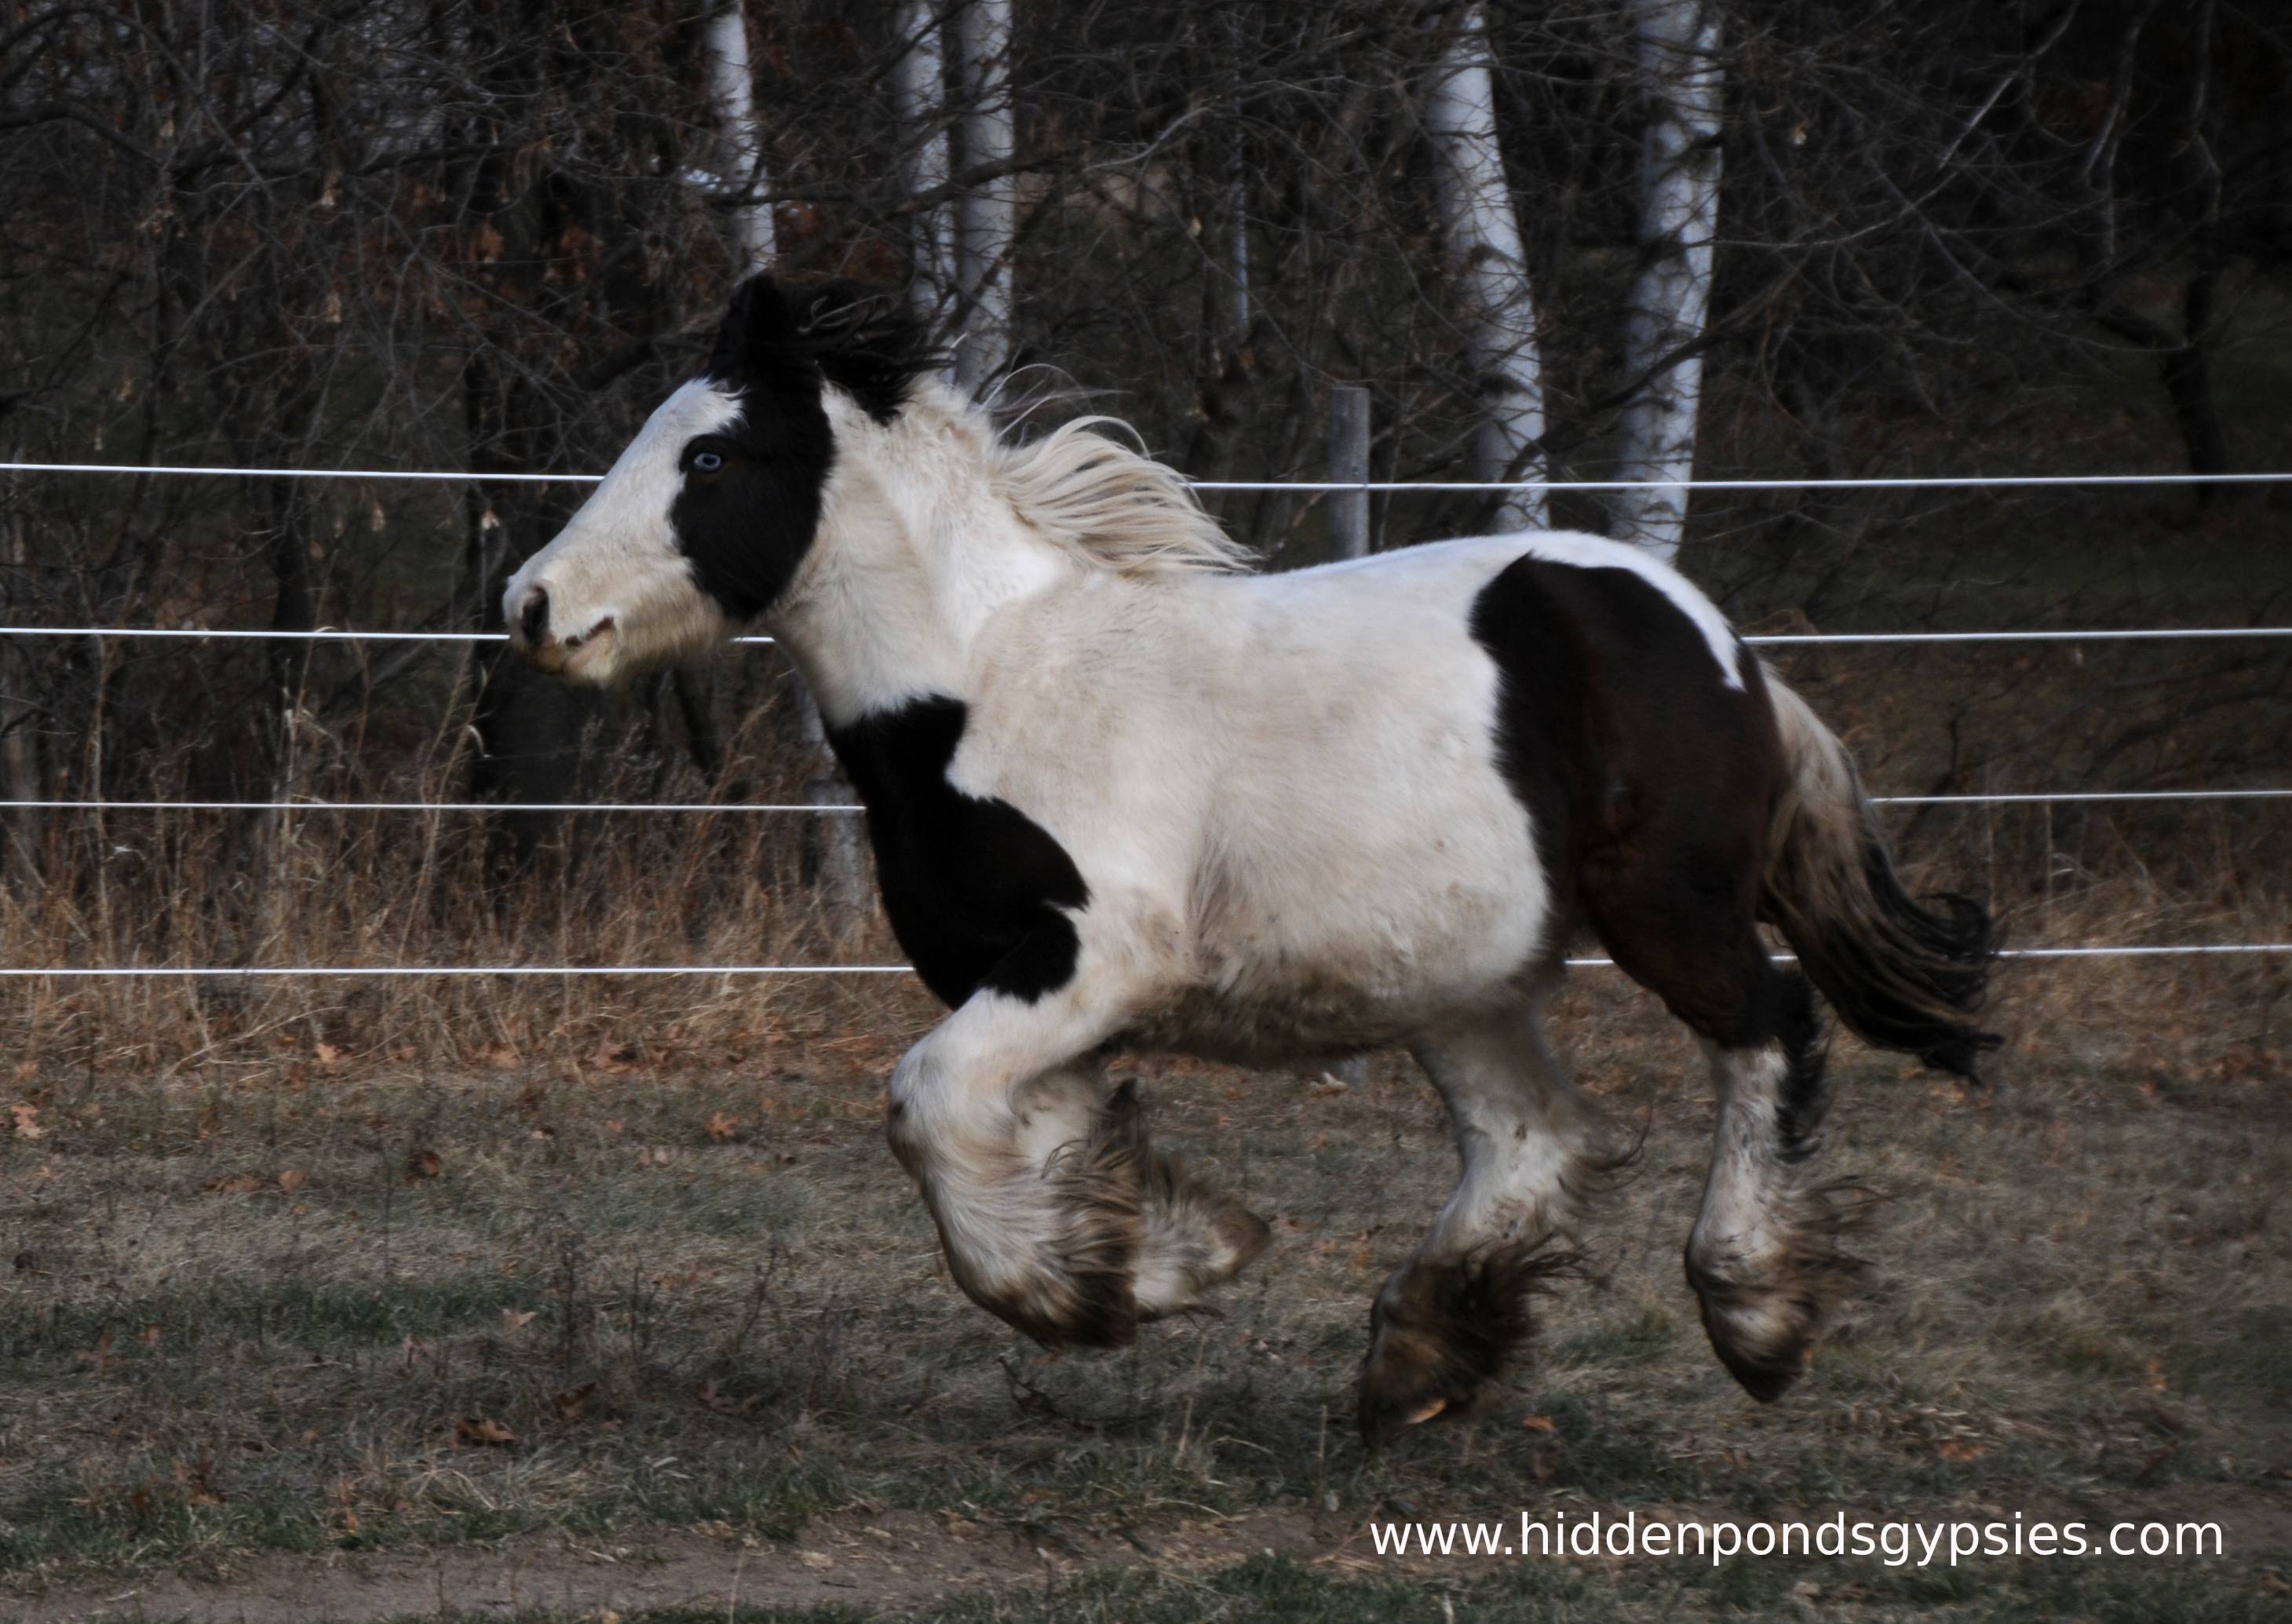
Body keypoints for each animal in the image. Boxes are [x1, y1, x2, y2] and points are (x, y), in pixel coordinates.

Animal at [502, 274, 1999, 1444]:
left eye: (707, 460)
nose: (533, 605)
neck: (989, 685)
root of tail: (1728, 650)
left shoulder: (1092, 956)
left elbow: (926, 1108)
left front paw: (1090, 1289)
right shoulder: (1021, 986)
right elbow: (1022, 1135)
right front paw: (1156, 1255)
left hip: (1665, 910)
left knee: (1768, 1027)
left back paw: (1754, 1312)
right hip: (1460, 978)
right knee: (1533, 1135)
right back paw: (1417, 1363)